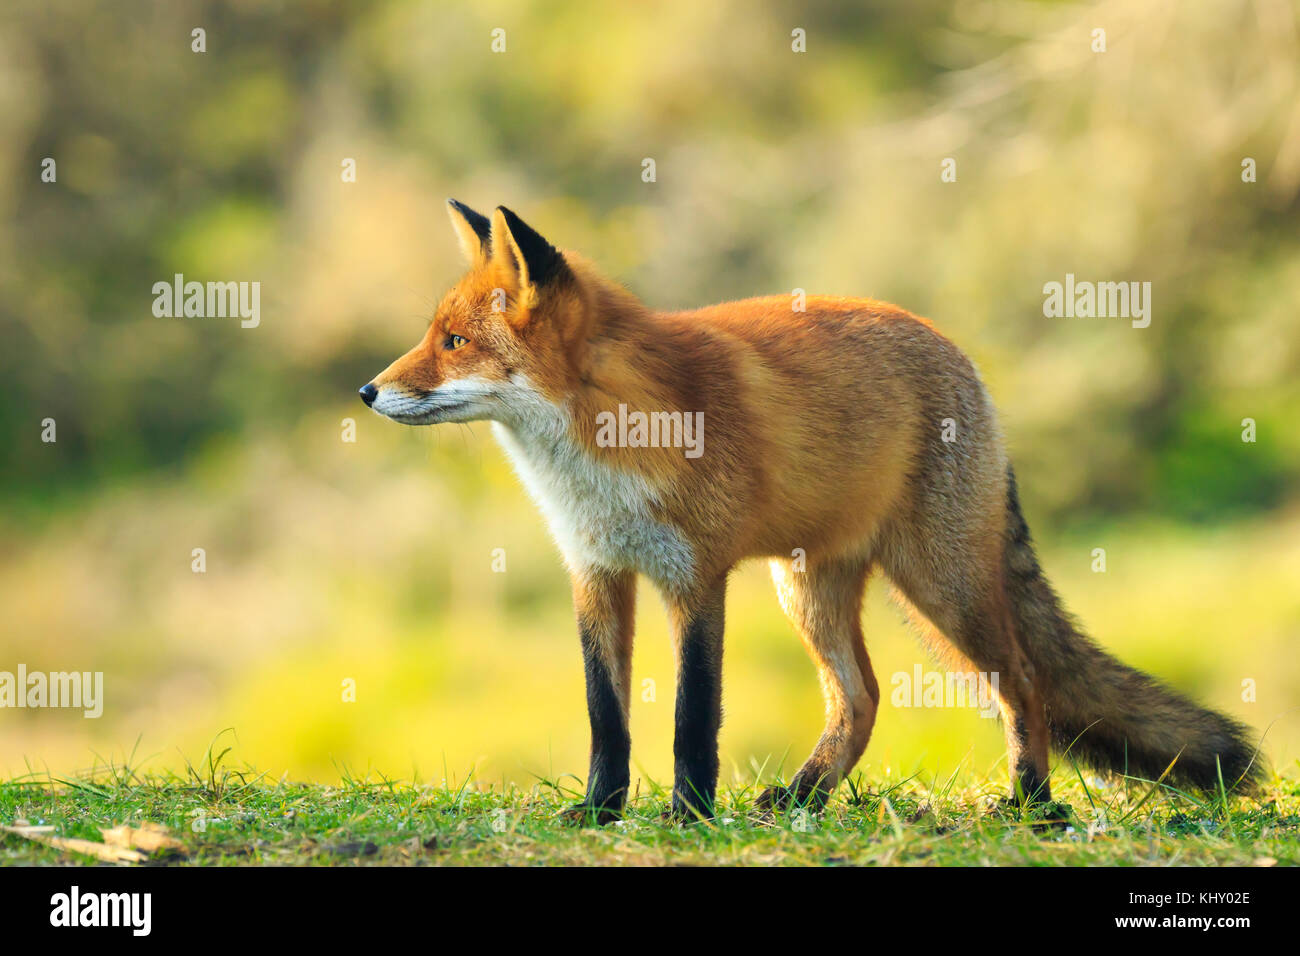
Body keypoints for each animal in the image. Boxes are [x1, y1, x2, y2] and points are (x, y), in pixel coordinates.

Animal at [361, 200, 1261, 821]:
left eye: (453, 344)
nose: (367, 391)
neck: (599, 447)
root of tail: (960, 355)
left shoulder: (697, 577)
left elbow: (693, 715)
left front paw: (689, 816)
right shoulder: (597, 573)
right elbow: (605, 715)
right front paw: (599, 812)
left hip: (943, 589)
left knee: (1026, 682)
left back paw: (1031, 805)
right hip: (812, 589)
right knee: (862, 699)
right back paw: (802, 798)